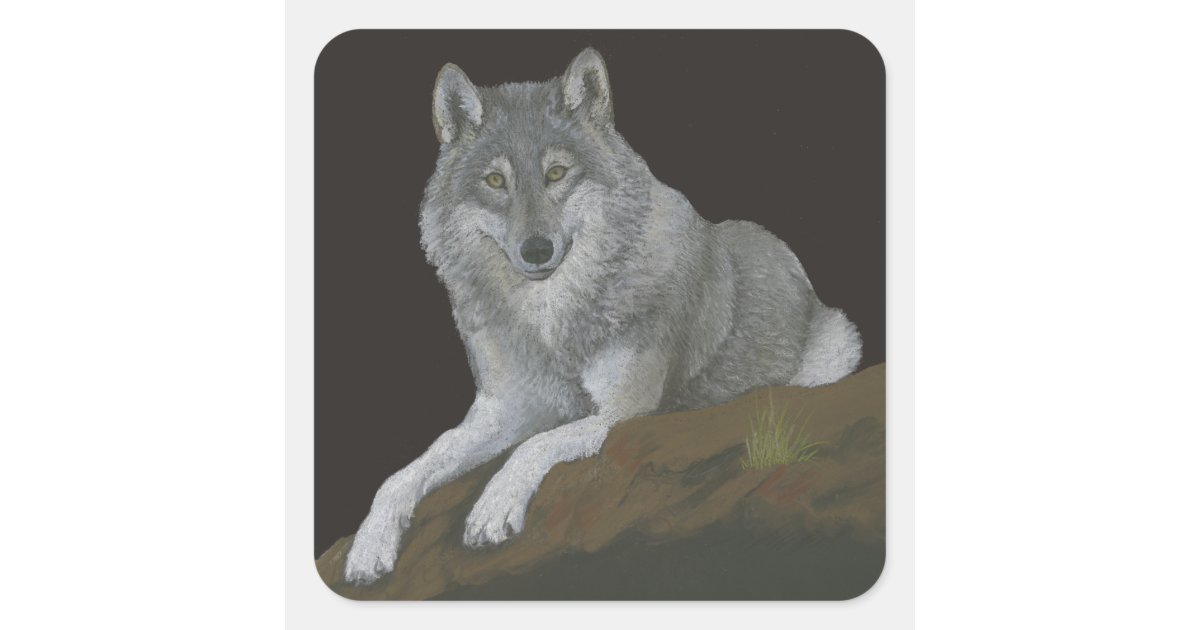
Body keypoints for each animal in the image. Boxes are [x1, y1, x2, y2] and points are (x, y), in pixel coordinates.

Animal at [343, 48, 862, 584]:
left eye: (556, 174)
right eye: (495, 181)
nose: (536, 250)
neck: (552, 322)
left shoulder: (623, 412)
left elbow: (536, 445)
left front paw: (492, 509)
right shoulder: (505, 409)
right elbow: (410, 469)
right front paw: (368, 546)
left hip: (837, 350)